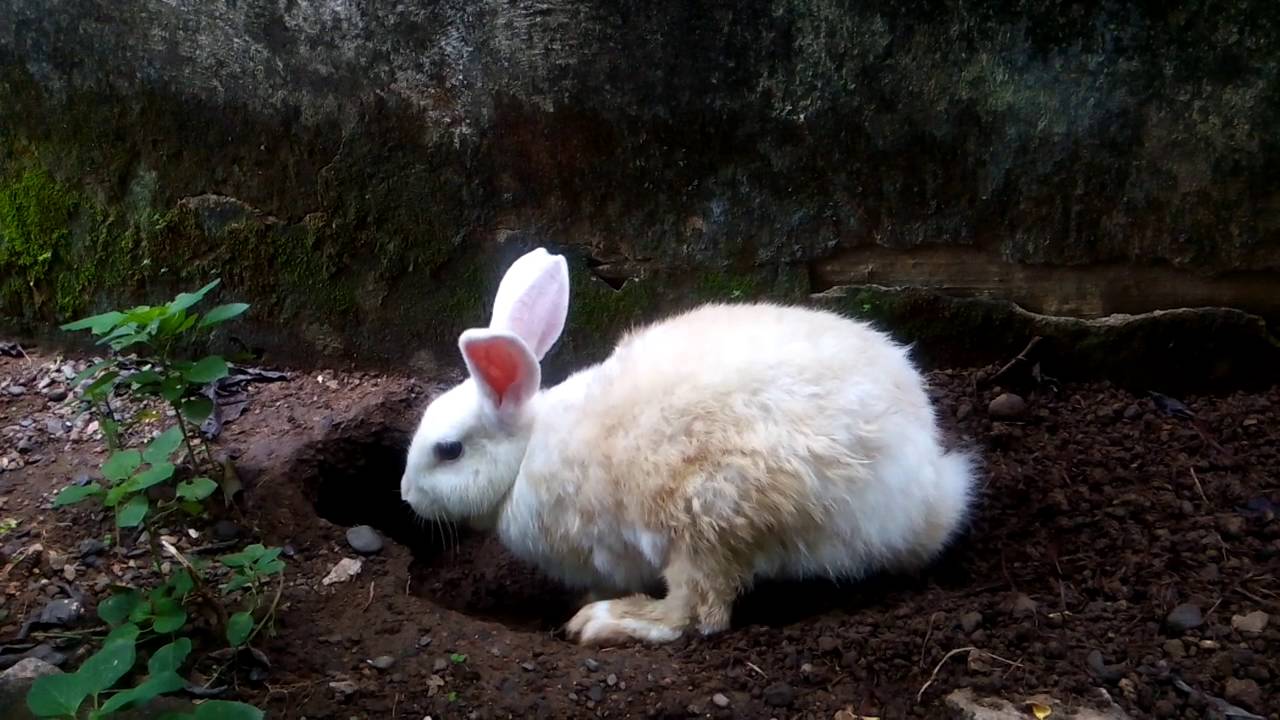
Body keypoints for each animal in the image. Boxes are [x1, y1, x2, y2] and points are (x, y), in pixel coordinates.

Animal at [400, 246, 978, 646]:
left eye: (448, 451)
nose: (406, 497)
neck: (524, 457)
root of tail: (924, 495)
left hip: (707, 516)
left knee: (696, 614)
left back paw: (605, 621)